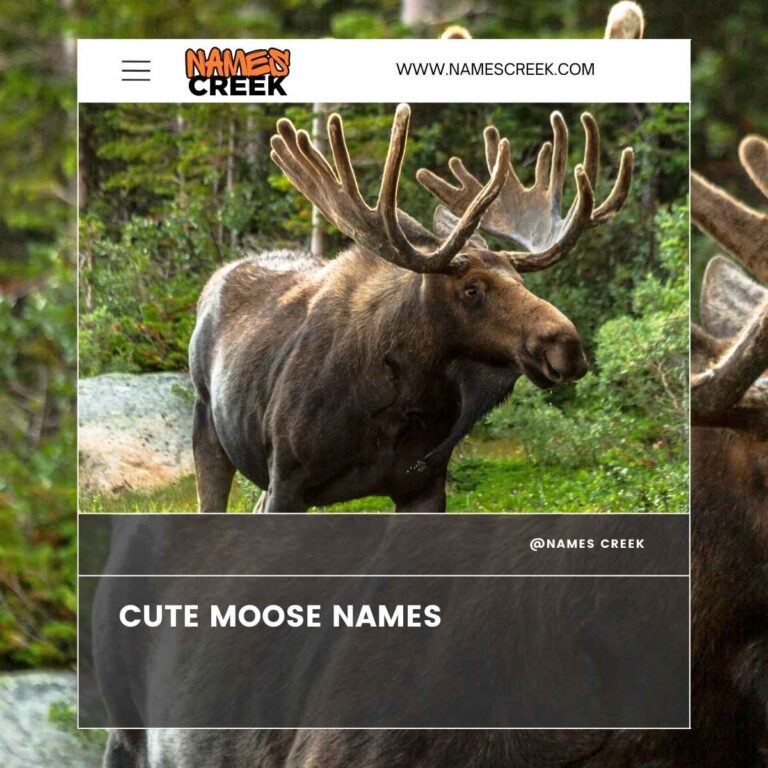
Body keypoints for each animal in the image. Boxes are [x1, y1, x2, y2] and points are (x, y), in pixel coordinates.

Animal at [189, 104, 633, 513]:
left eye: (521, 282)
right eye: (472, 289)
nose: (568, 345)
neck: (408, 396)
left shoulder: (424, 486)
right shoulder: (287, 480)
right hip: (208, 426)